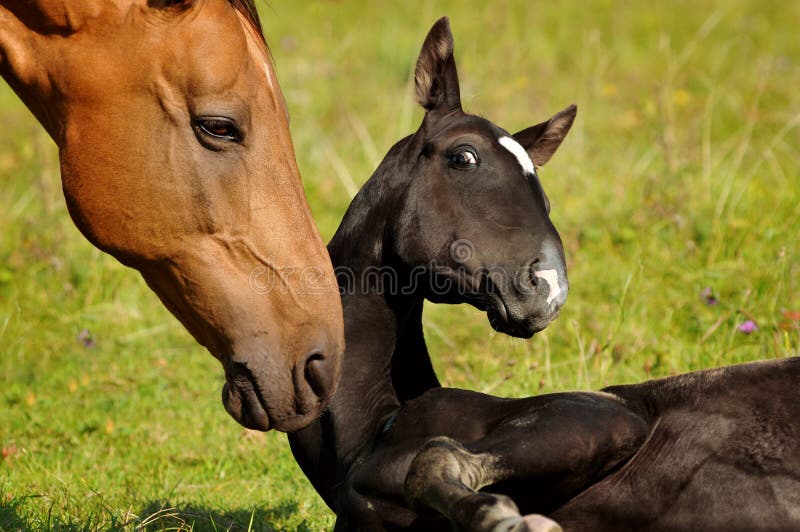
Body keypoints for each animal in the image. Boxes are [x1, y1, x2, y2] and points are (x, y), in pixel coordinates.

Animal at [288, 18, 800, 531]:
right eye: (463, 157)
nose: (549, 288)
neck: (372, 429)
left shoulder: (604, 415)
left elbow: (436, 458)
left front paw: (508, 520)